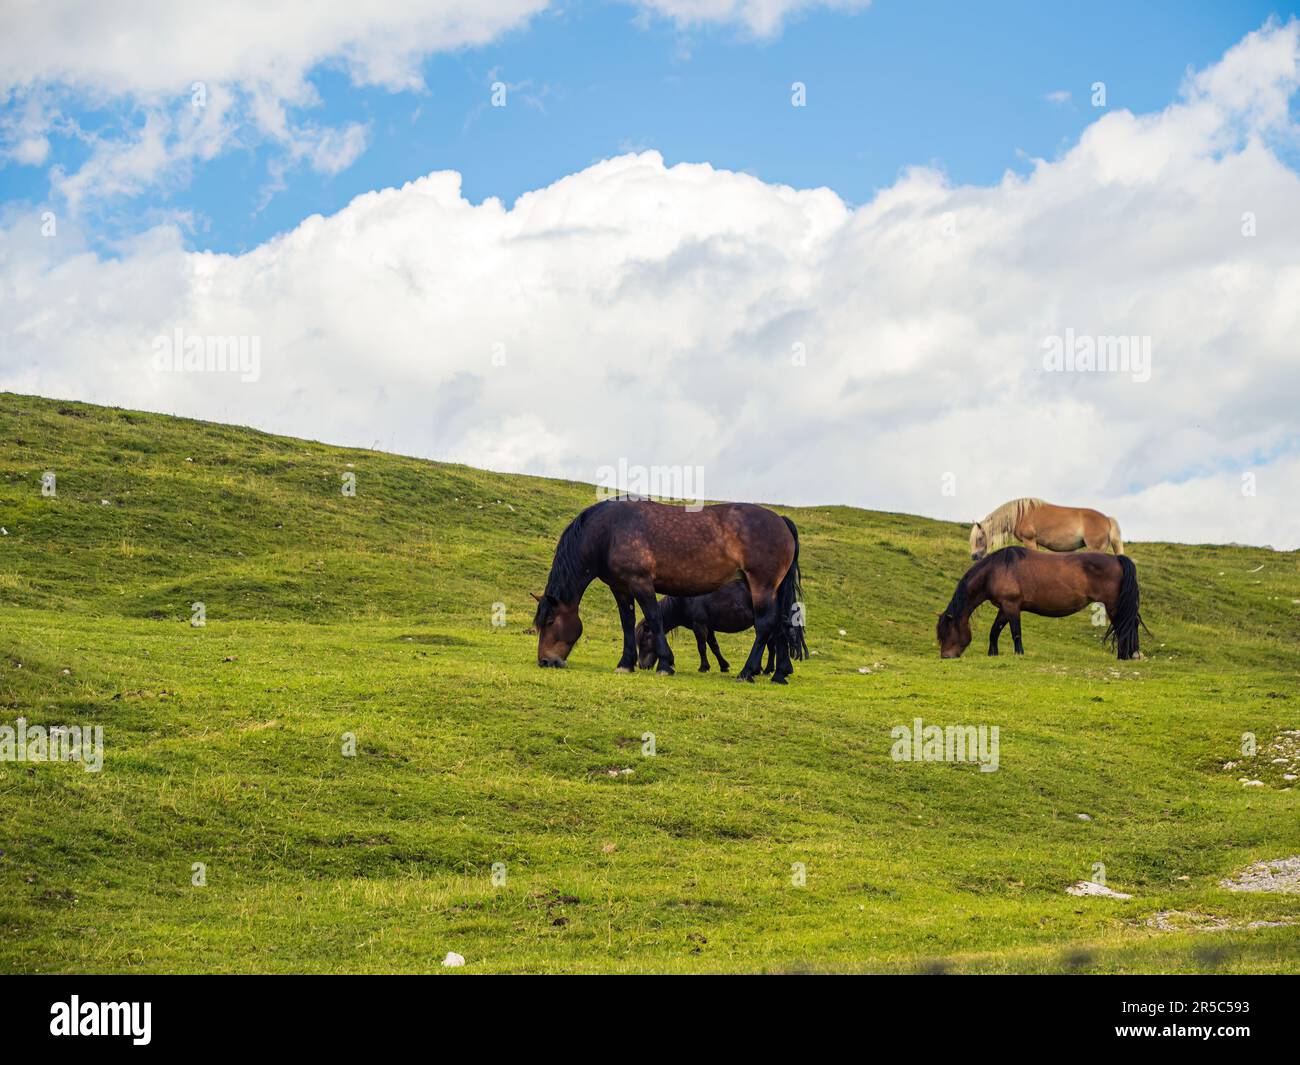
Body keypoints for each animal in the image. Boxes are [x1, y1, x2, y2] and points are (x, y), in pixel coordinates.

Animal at [634, 580, 810, 674]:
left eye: (644, 641)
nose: (641, 665)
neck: (685, 600)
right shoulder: (708, 627)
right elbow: (714, 647)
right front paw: (724, 666)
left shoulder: (699, 626)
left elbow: (702, 647)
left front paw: (703, 667)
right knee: (770, 645)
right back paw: (765, 669)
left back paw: (766, 669)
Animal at [936, 546, 1145, 660]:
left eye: (948, 631)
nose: (946, 656)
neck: (996, 570)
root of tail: (1117, 559)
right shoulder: (1004, 608)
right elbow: (995, 630)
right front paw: (992, 653)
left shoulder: (1012, 606)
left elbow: (1015, 632)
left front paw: (1019, 654)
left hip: (1114, 605)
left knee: (1125, 626)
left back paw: (1126, 655)